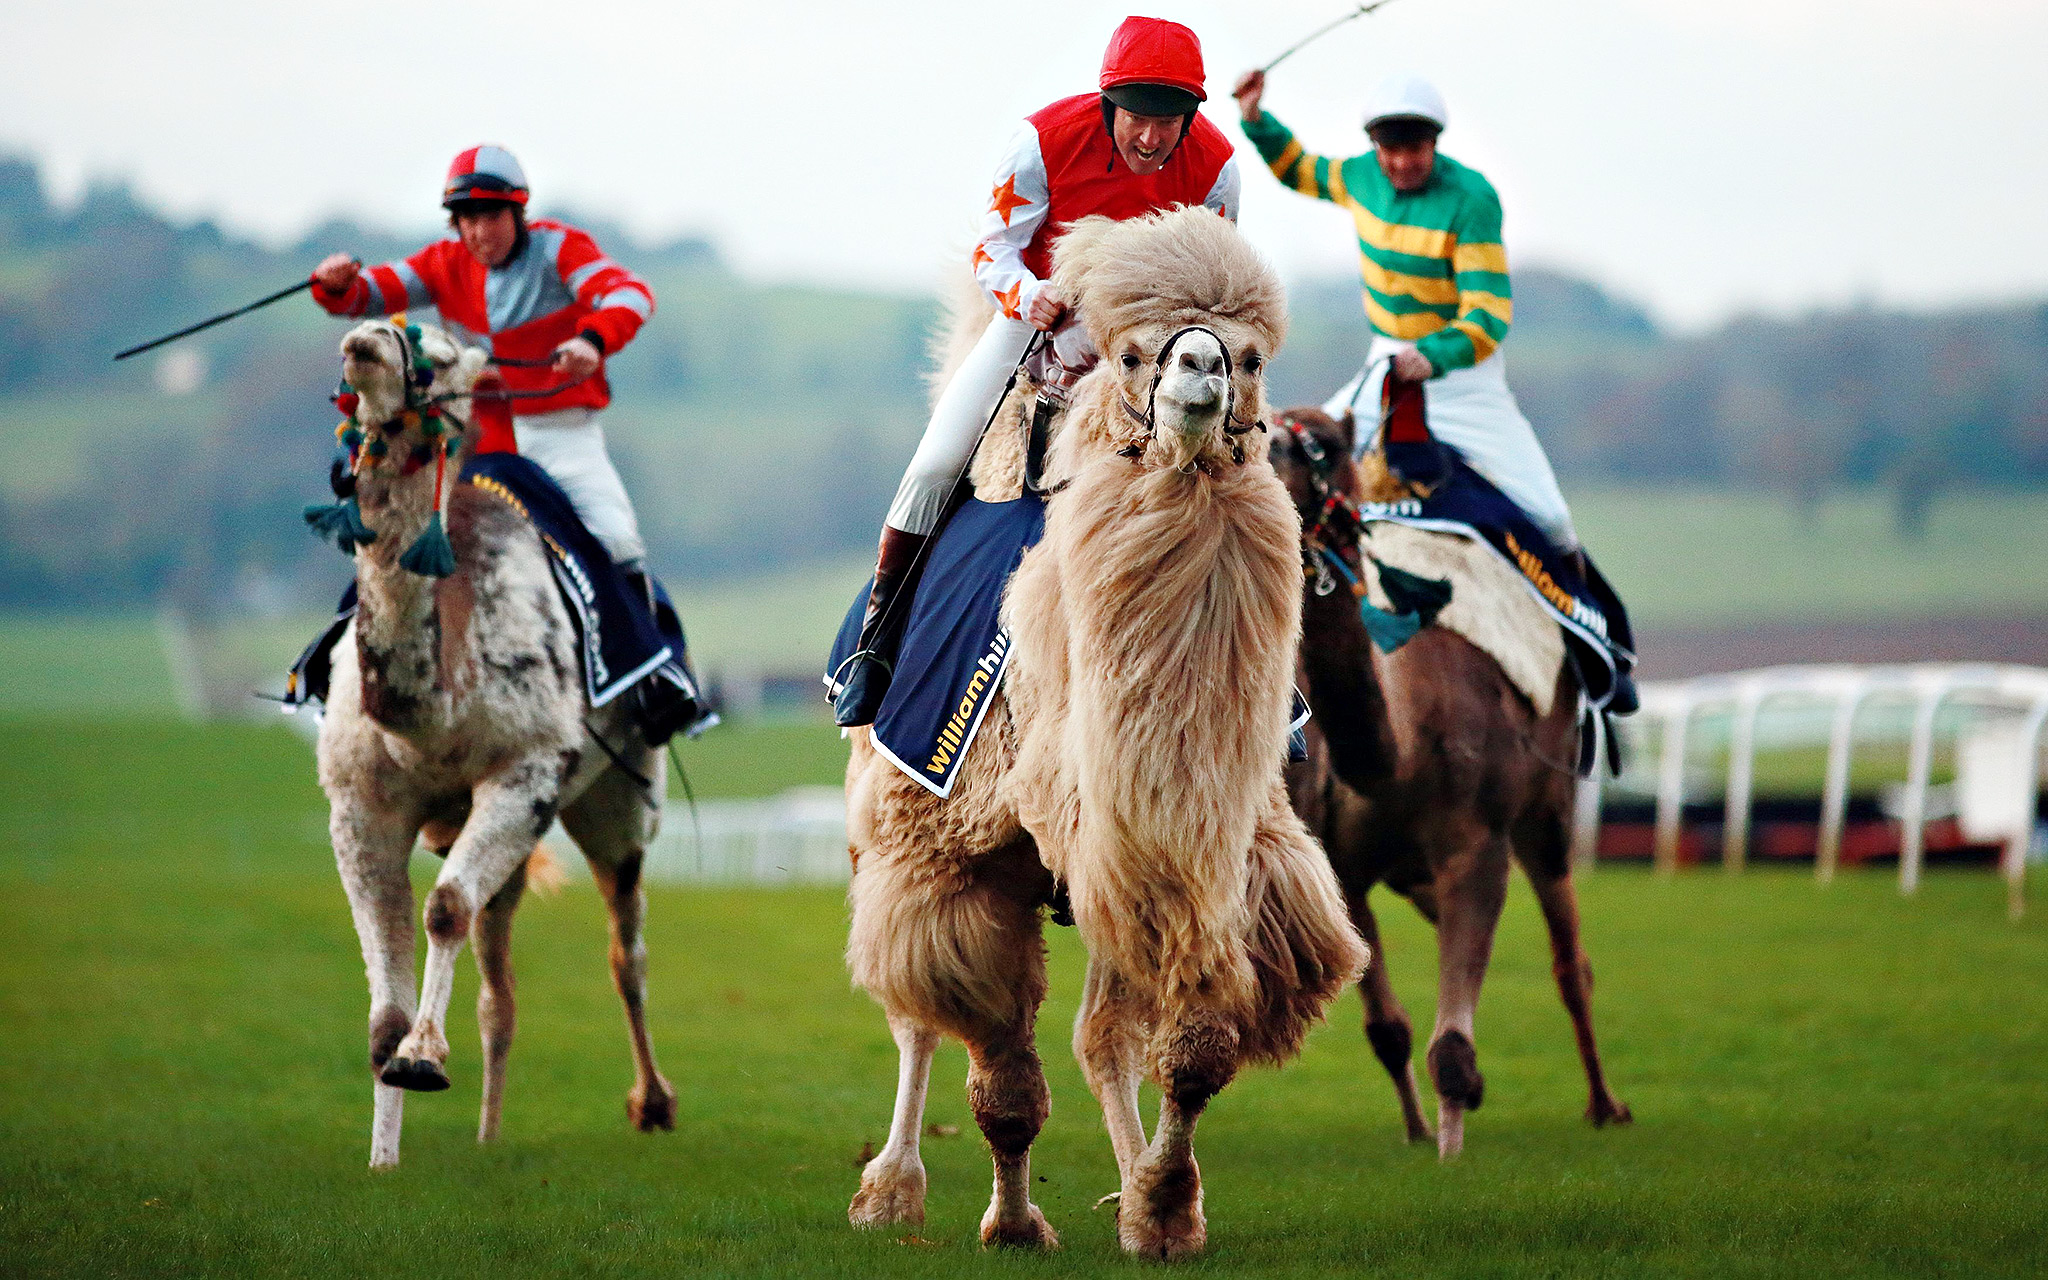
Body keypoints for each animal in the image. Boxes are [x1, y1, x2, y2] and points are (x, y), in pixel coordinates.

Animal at [317, 319, 676, 1168]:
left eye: (440, 354)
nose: (364, 341)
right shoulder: (359, 809)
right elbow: (385, 1013)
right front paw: (383, 1156)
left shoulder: (526, 772)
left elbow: (445, 910)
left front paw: (421, 1060)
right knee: (499, 977)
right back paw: (487, 1131)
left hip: (616, 804)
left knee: (626, 950)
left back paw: (652, 1102)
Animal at [843, 208, 1367, 1258]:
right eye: (1130, 353)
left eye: (1252, 356)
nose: (1199, 371)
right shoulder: (976, 867)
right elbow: (1003, 1082)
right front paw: (1014, 1226)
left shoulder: (1199, 858)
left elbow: (1194, 1047)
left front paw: (1162, 1208)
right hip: (900, 832)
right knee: (915, 1015)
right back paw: (891, 1192)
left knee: (1096, 1039)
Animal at [1272, 404, 1631, 1159]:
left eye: (1325, 445)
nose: (1269, 451)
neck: (1400, 755)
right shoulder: (1341, 866)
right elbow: (1388, 1028)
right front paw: (1417, 1130)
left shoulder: (1477, 844)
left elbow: (1453, 1047)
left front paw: (1451, 1147)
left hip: (1548, 813)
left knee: (1570, 963)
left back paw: (1604, 1104)